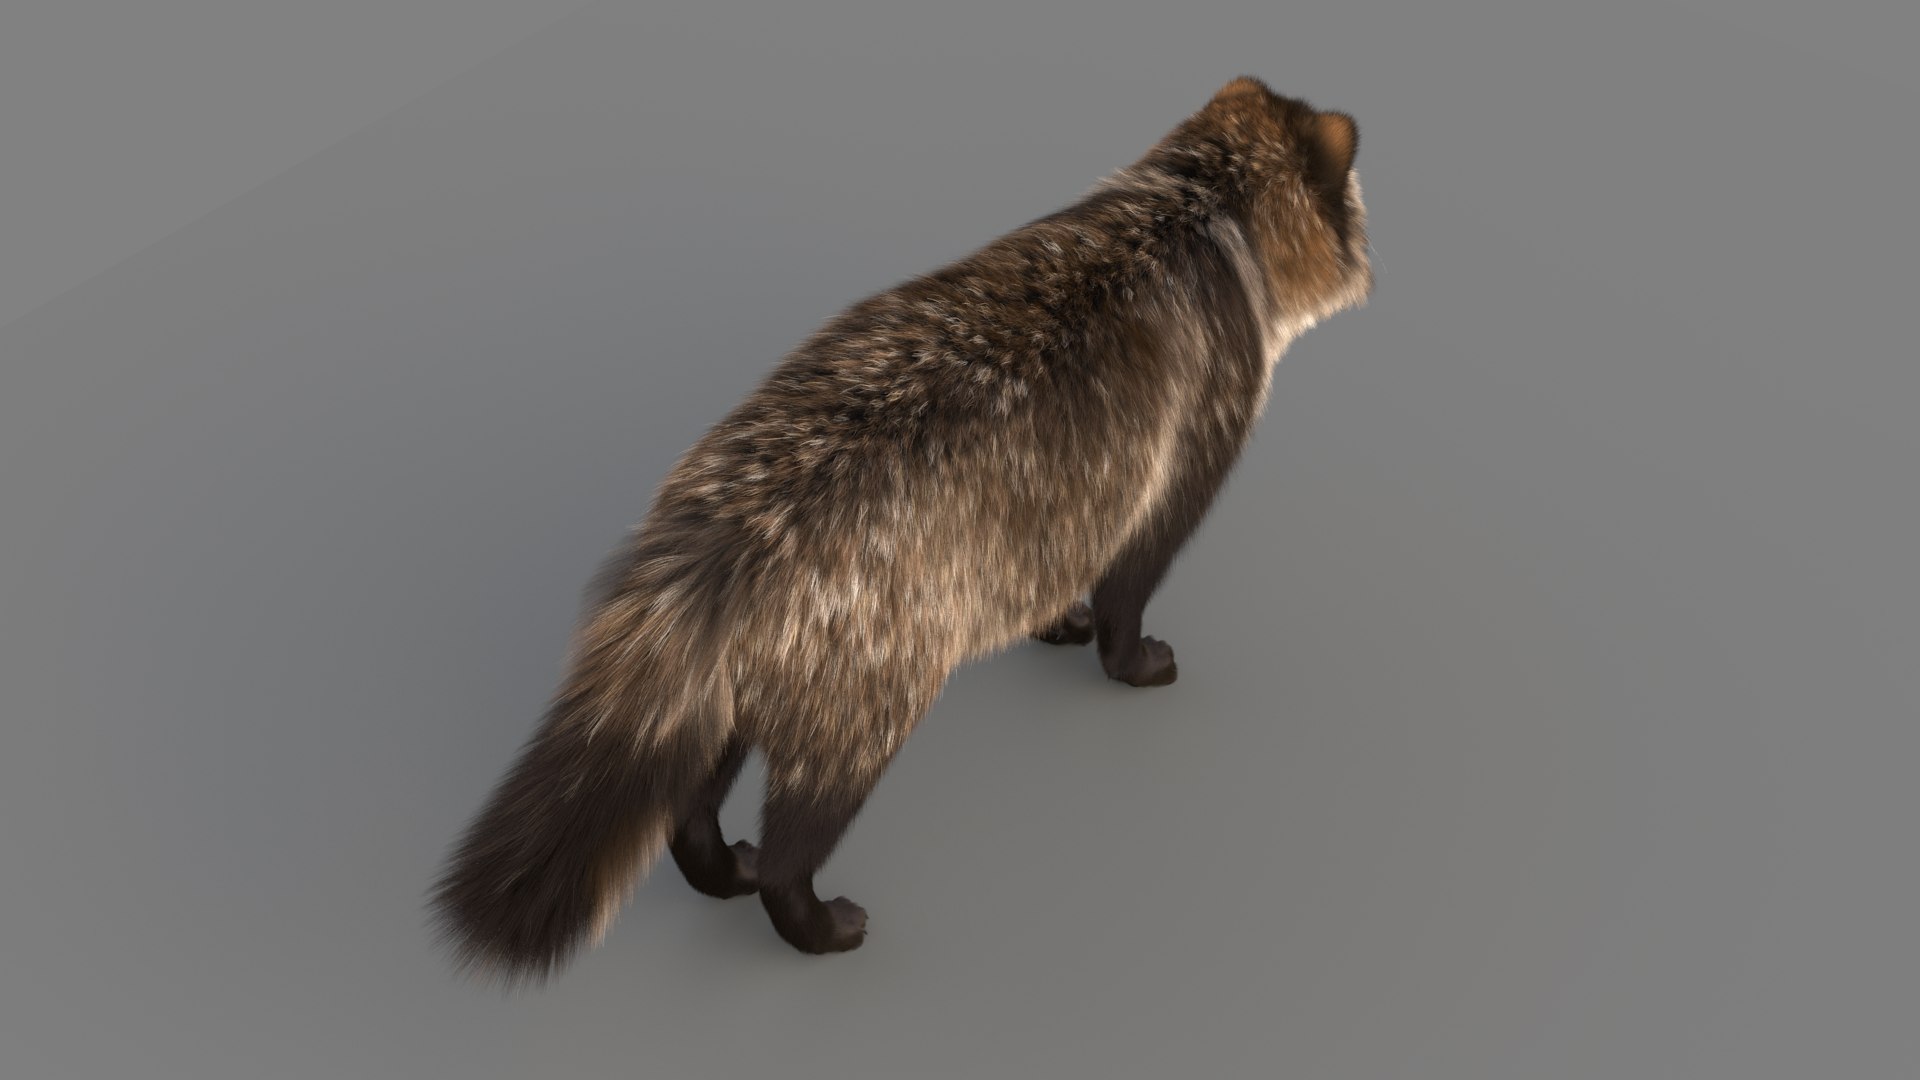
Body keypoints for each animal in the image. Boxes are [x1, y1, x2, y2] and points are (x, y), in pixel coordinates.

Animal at [431, 75, 1372, 976]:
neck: (1196, 210)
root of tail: (722, 536)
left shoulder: (1063, 513)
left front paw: (1058, 622)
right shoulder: (1178, 466)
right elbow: (1129, 586)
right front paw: (1132, 659)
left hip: (726, 697)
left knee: (687, 803)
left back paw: (721, 867)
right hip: (865, 691)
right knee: (795, 836)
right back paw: (813, 921)